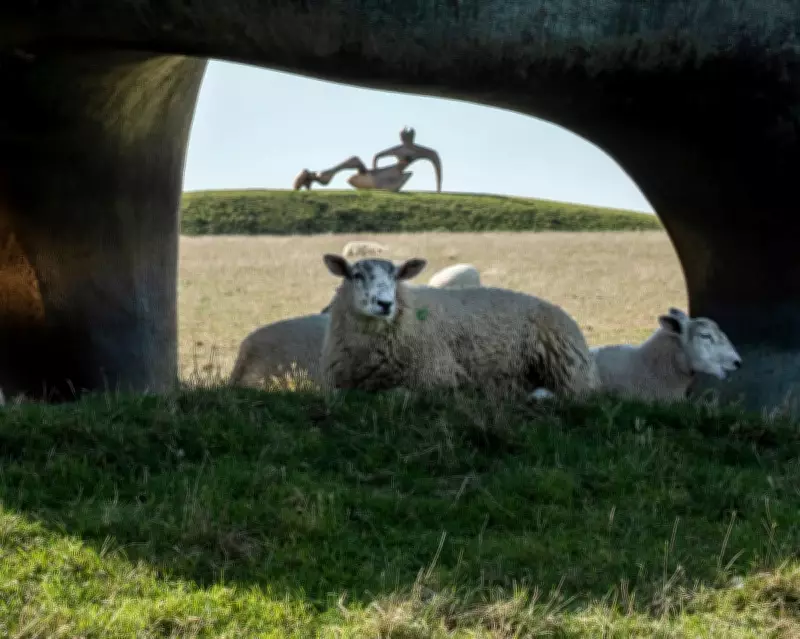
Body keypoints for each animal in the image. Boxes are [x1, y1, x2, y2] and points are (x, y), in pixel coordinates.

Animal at [318, 254, 599, 400]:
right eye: (356, 275)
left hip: (568, 370)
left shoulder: (437, 376)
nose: (385, 304)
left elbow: (397, 393)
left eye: (396, 276)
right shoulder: (337, 384)